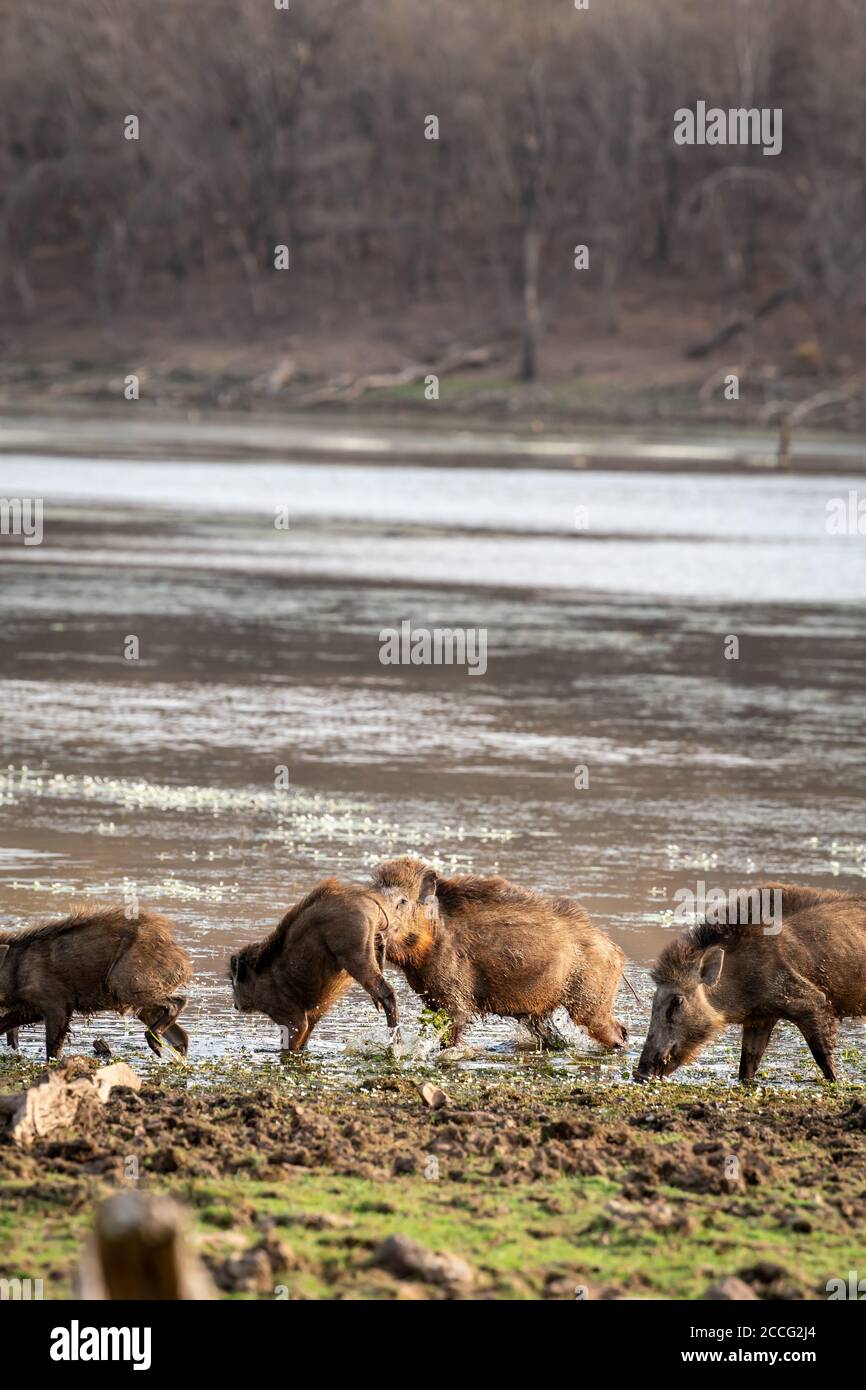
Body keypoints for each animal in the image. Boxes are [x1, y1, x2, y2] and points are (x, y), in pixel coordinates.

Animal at [0, 906, 191, 1060]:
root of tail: (184, 961)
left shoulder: (57, 1005)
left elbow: (52, 1048)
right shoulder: (30, 1008)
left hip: (125, 984)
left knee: (178, 1002)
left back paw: (156, 1044)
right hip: (142, 1001)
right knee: (181, 1036)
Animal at [229, 878, 398, 1050]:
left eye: (232, 980)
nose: (235, 1005)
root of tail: (364, 897)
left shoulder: (291, 1018)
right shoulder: (313, 1016)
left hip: (356, 957)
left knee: (387, 993)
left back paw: (394, 1047)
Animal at [370, 857, 628, 1050]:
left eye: (402, 901)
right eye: (373, 892)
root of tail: (618, 954)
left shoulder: (456, 998)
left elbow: (450, 1036)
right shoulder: (430, 997)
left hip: (590, 1004)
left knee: (619, 1033)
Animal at [635, 883, 866, 1084]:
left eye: (677, 1001)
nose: (640, 1074)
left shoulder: (812, 1002)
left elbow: (824, 1059)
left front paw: (839, 1082)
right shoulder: (760, 1018)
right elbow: (747, 1065)